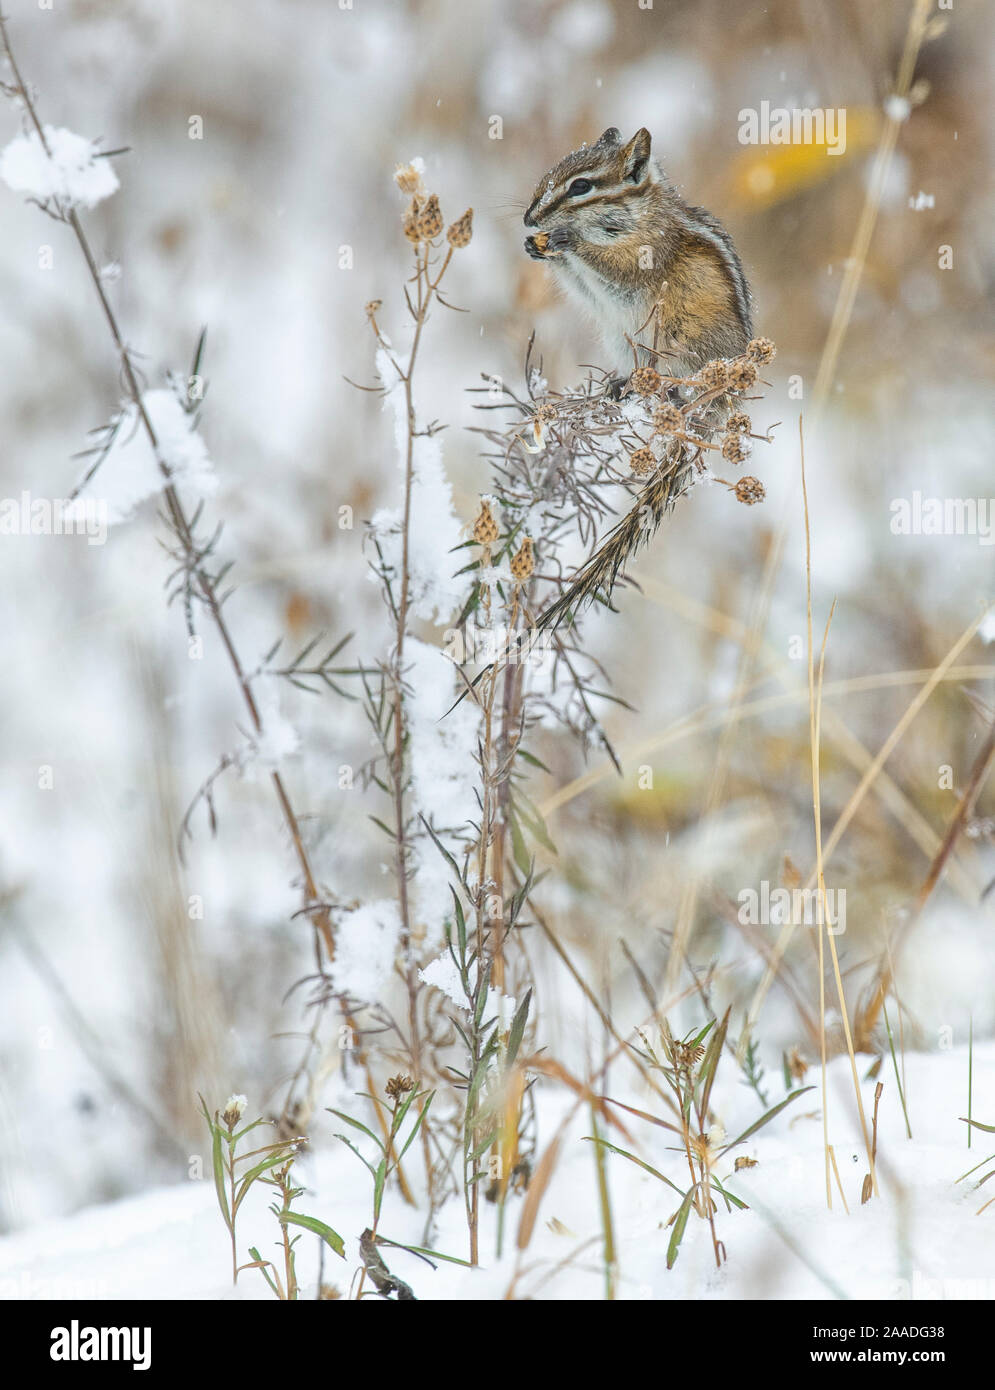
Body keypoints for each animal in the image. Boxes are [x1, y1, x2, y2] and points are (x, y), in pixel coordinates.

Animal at [524, 125, 753, 379]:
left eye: (580, 186)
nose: (528, 219)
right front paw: (533, 247)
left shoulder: (652, 249)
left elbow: (620, 268)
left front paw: (570, 240)